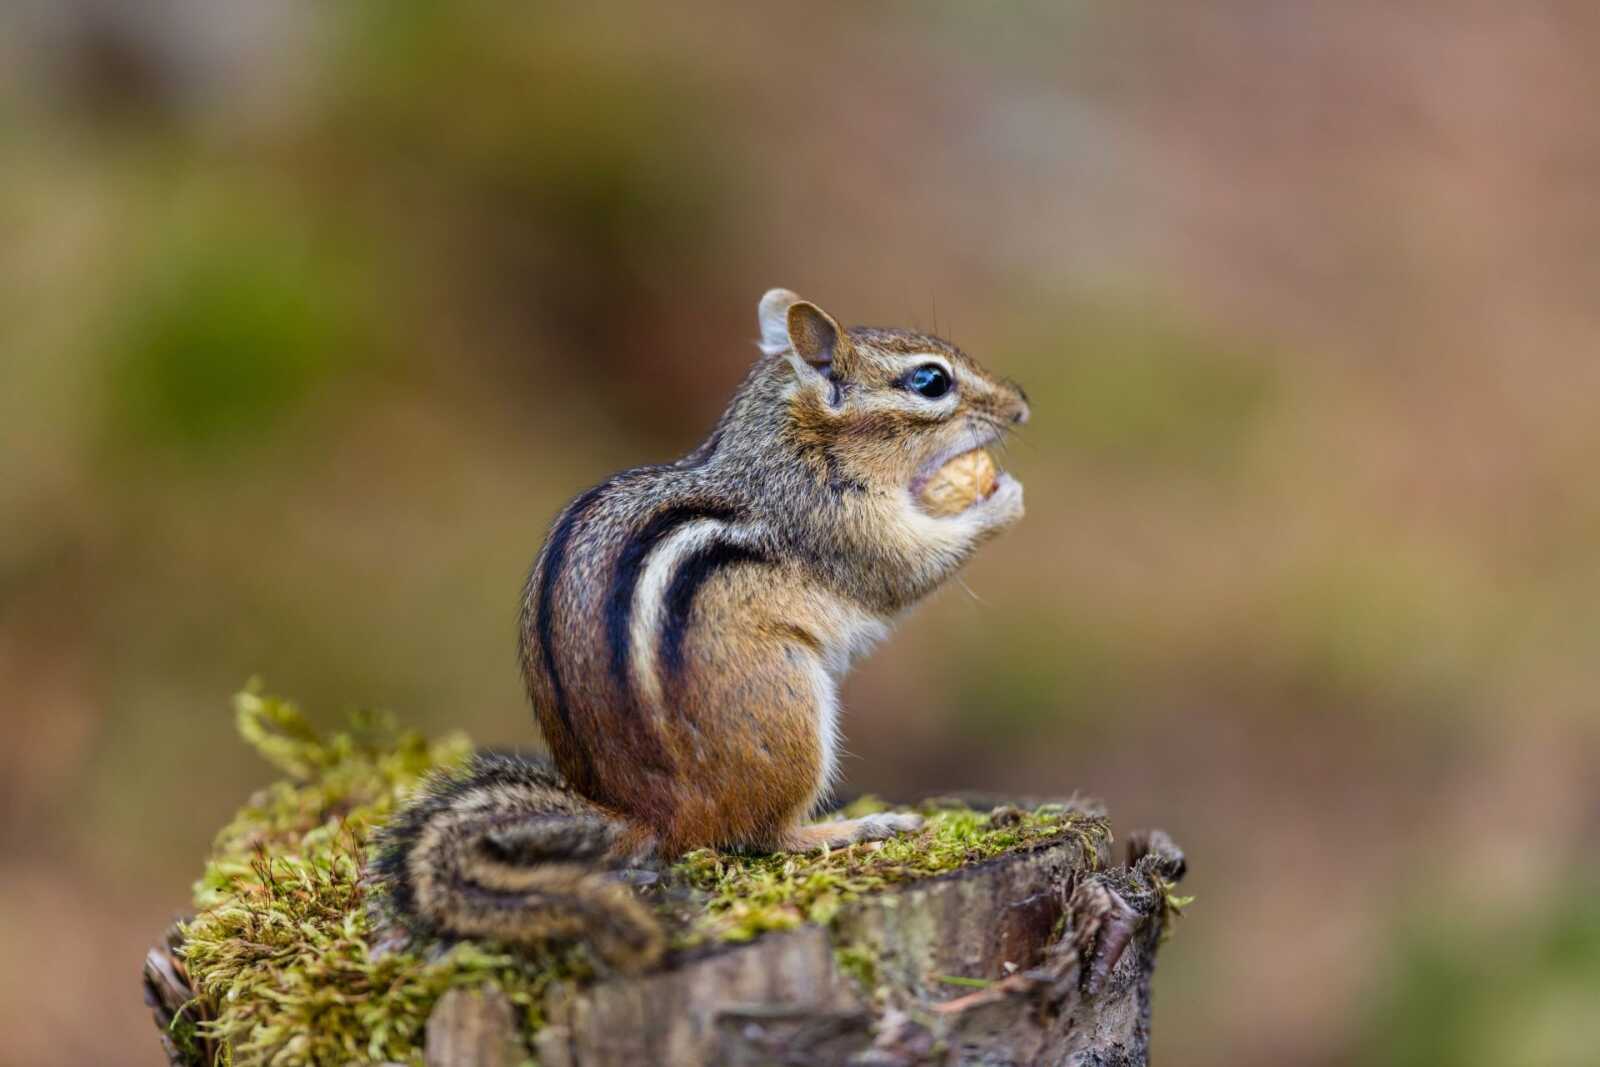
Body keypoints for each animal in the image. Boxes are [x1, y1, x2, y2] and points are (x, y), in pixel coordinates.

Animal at [373, 289, 1029, 970]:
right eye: (931, 381)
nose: (1020, 405)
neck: (792, 446)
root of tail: (649, 817)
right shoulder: (838, 525)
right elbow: (908, 570)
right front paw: (1002, 499)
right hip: (787, 711)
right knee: (766, 836)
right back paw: (858, 827)